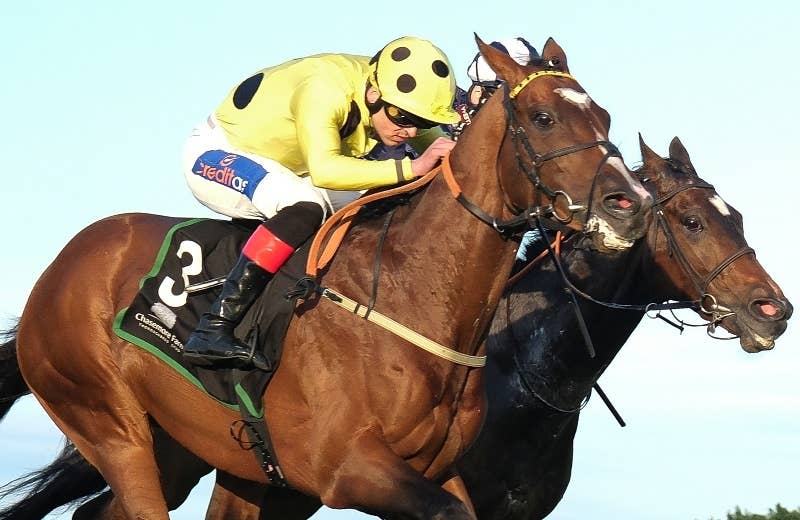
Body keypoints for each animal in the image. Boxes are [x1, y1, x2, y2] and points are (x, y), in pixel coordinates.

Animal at [0, 135, 790, 520]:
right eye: (692, 220)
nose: (772, 308)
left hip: (204, 455)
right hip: (133, 431)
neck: (525, 370)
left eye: (737, 215)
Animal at [8, 36, 650, 519]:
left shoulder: (438, 470)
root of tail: (62, 266)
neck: (412, 294)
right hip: (111, 425)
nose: (633, 204)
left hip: (194, 447)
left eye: (604, 117)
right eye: (543, 119)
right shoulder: (346, 468)